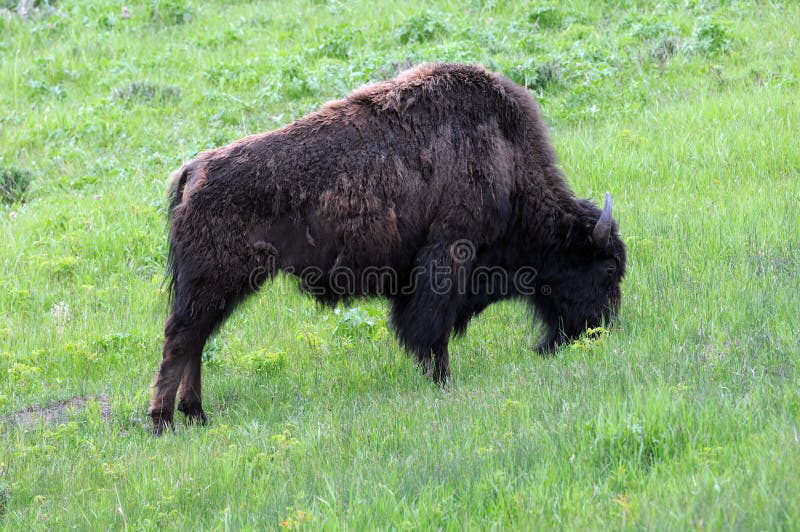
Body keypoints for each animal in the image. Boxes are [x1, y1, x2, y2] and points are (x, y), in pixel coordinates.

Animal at [149, 63, 626, 434]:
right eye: (606, 270)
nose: (601, 331)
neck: (505, 157)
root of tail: (194, 170)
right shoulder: (448, 254)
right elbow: (431, 328)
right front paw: (442, 380)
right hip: (214, 283)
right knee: (180, 339)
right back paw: (163, 422)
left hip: (220, 289)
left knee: (196, 341)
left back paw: (196, 415)